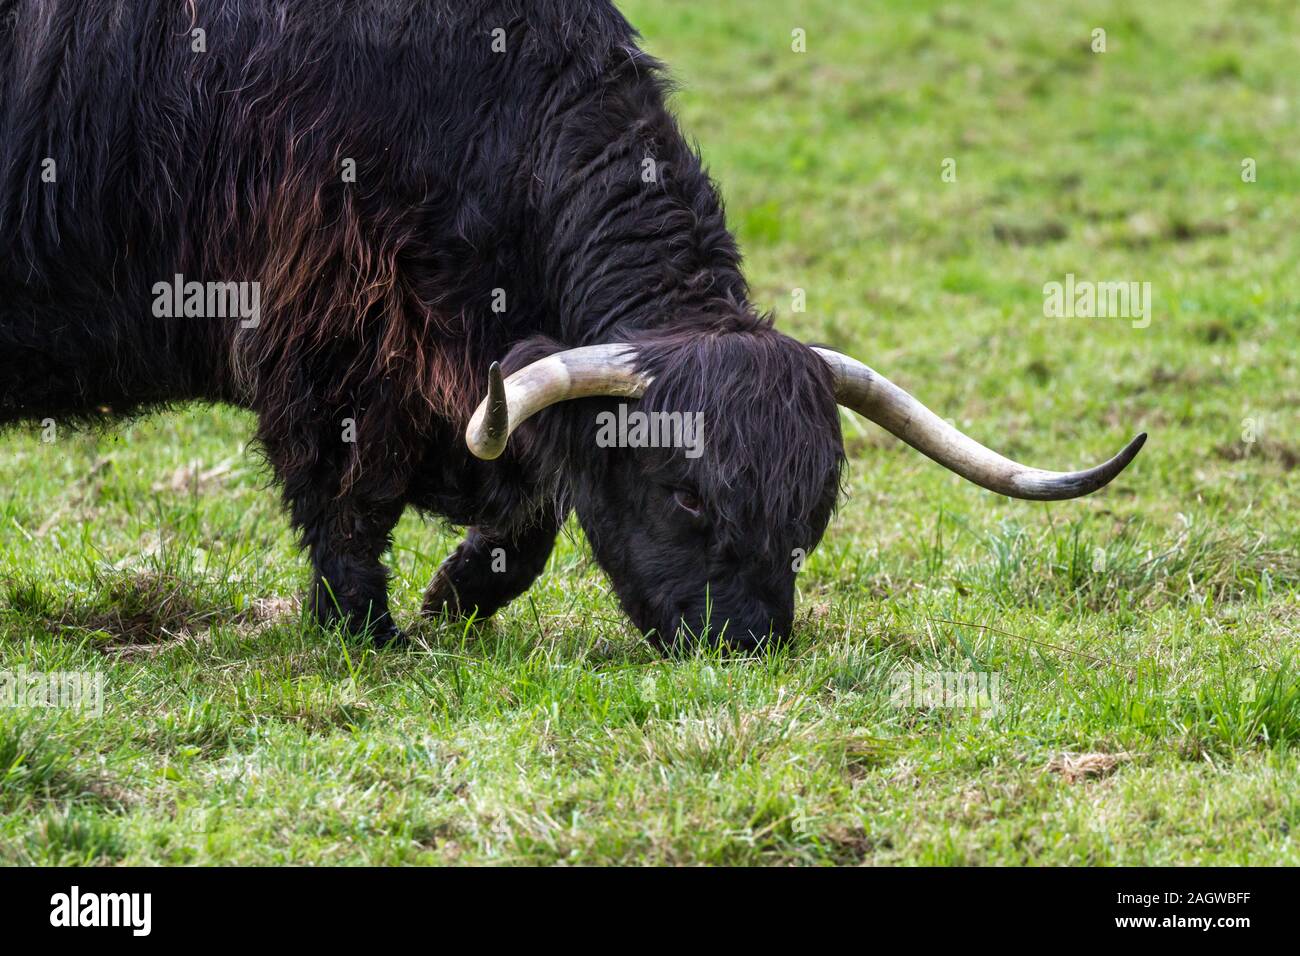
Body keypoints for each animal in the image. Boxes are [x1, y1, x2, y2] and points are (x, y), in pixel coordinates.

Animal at [0, 1, 1144, 650]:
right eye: (688, 493)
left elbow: (533, 512)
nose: (751, 644)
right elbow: (347, 503)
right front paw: (368, 633)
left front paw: (451, 598)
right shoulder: (326, 332)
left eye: (815, 510)